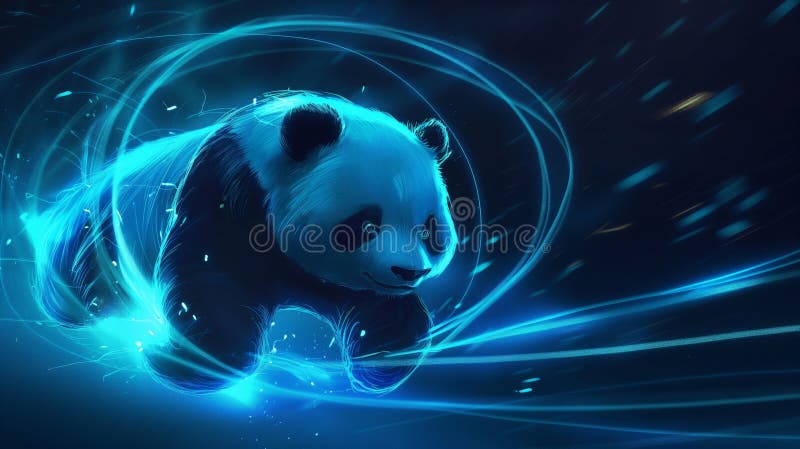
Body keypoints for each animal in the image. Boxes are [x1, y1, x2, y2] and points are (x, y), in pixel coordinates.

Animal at [33, 91, 458, 394]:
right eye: (366, 222)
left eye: (429, 229)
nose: (409, 271)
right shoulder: (226, 195)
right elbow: (211, 285)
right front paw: (172, 359)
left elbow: (385, 312)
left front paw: (376, 368)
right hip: (99, 234)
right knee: (84, 283)